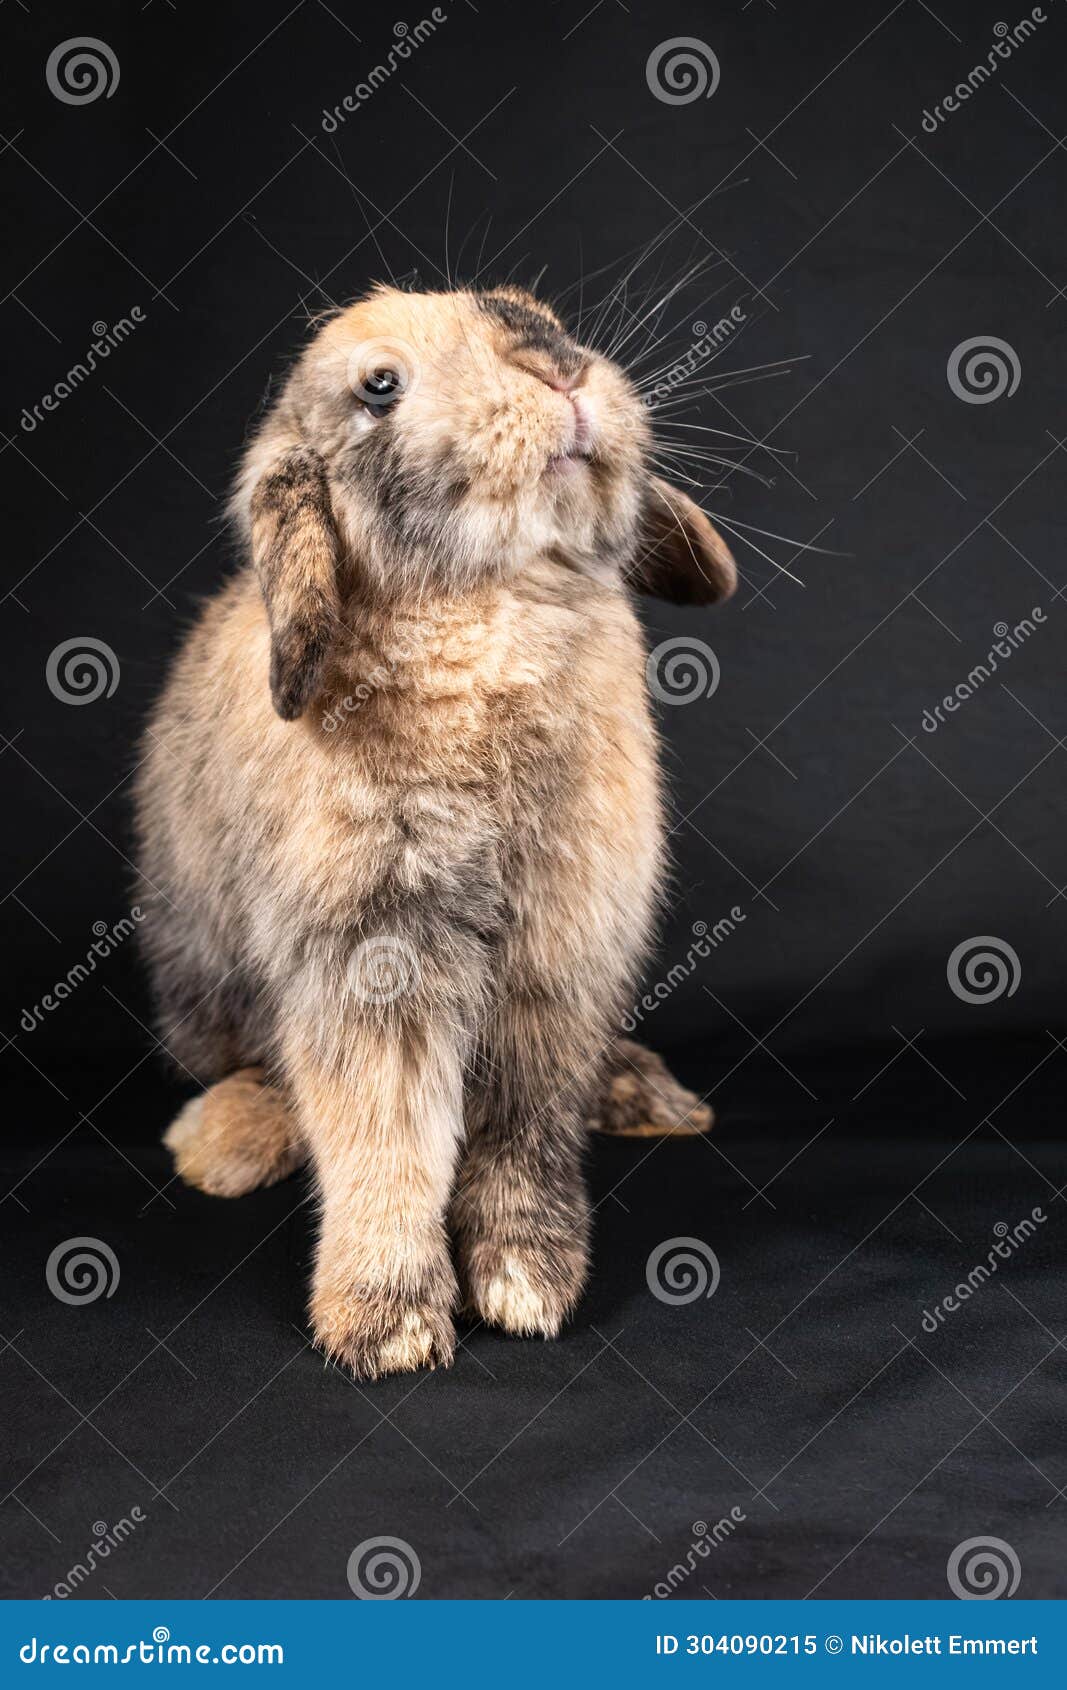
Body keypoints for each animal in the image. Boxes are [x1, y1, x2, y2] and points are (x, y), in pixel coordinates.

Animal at [134, 282, 736, 1379]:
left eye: (545, 316)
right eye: (379, 386)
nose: (558, 367)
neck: (495, 607)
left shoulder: (559, 951)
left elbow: (523, 1130)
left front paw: (529, 1283)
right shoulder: (375, 951)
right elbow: (385, 1133)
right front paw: (388, 1325)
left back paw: (649, 1098)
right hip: (203, 984)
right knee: (257, 1068)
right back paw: (221, 1145)